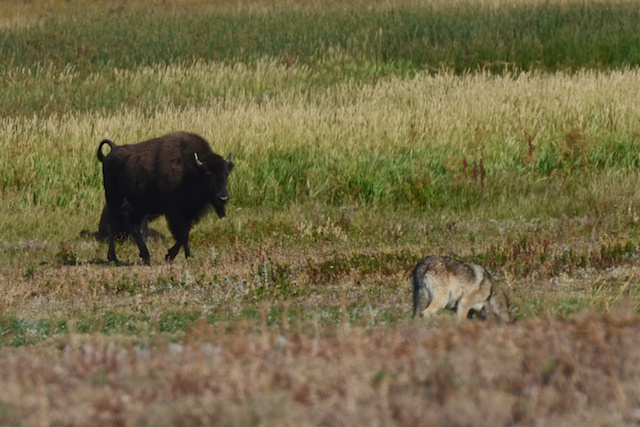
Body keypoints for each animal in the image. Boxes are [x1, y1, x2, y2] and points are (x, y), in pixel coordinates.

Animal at [97, 131, 233, 265]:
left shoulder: (189, 213)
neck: (191, 170)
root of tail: (114, 149)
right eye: (208, 174)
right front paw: (186, 256)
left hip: (139, 206)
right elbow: (182, 233)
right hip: (114, 196)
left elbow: (184, 233)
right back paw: (114, 258)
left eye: (226, 174)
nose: (223, 198)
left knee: (134, 226)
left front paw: (170, 255)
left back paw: (145, 257)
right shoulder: (174, 211)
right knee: (112, 224)